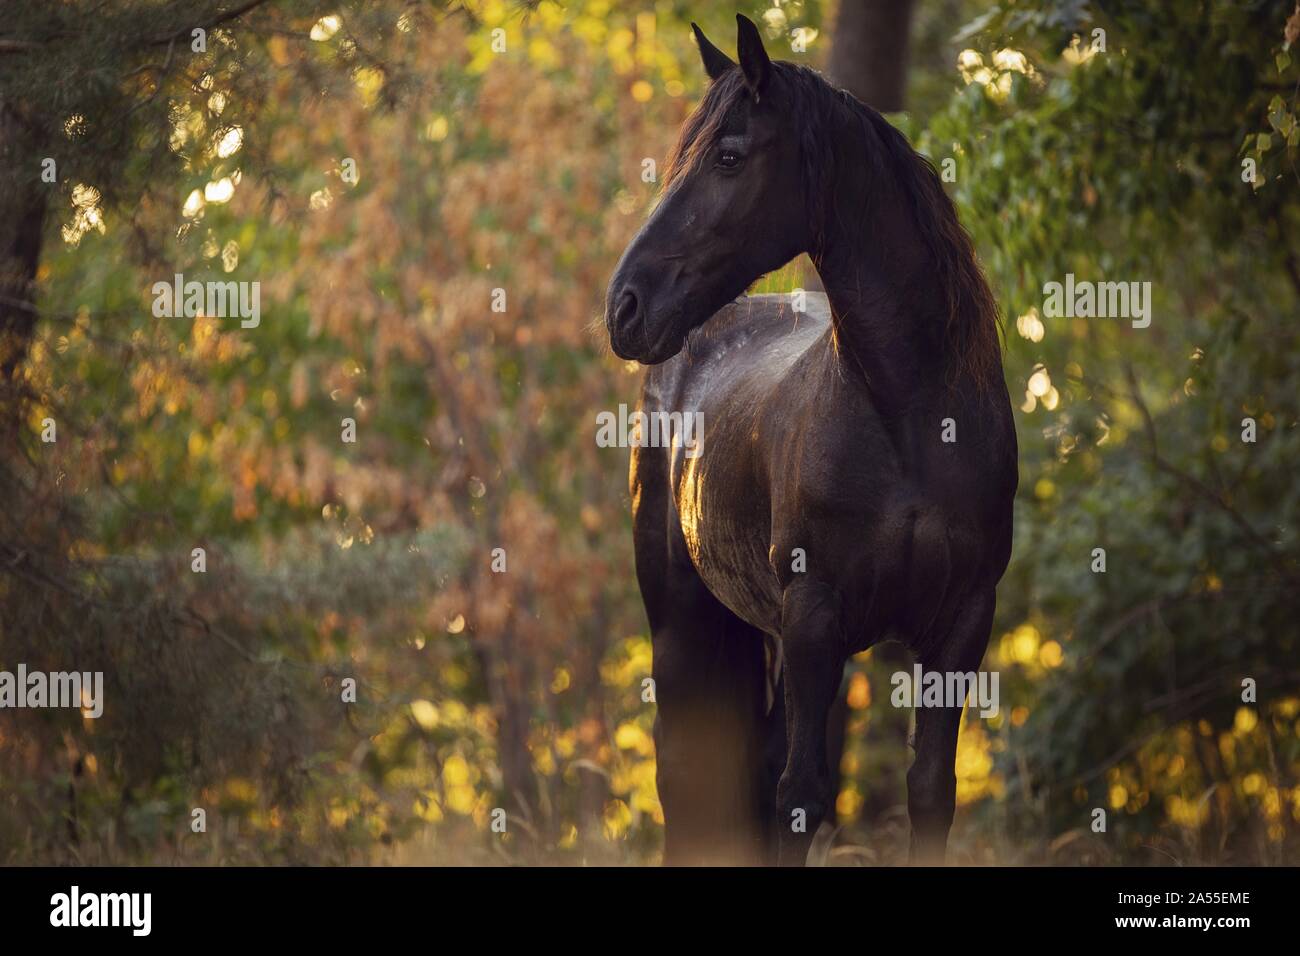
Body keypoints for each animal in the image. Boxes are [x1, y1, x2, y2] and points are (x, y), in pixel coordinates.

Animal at [604, 15, 1017, 866]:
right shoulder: (814, 619)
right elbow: (800, 797)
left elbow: (929, 790)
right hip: (685, 626)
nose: (623, 307)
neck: (914, 421)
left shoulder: (963, 622)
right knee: (687, 782)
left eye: (729, 156)